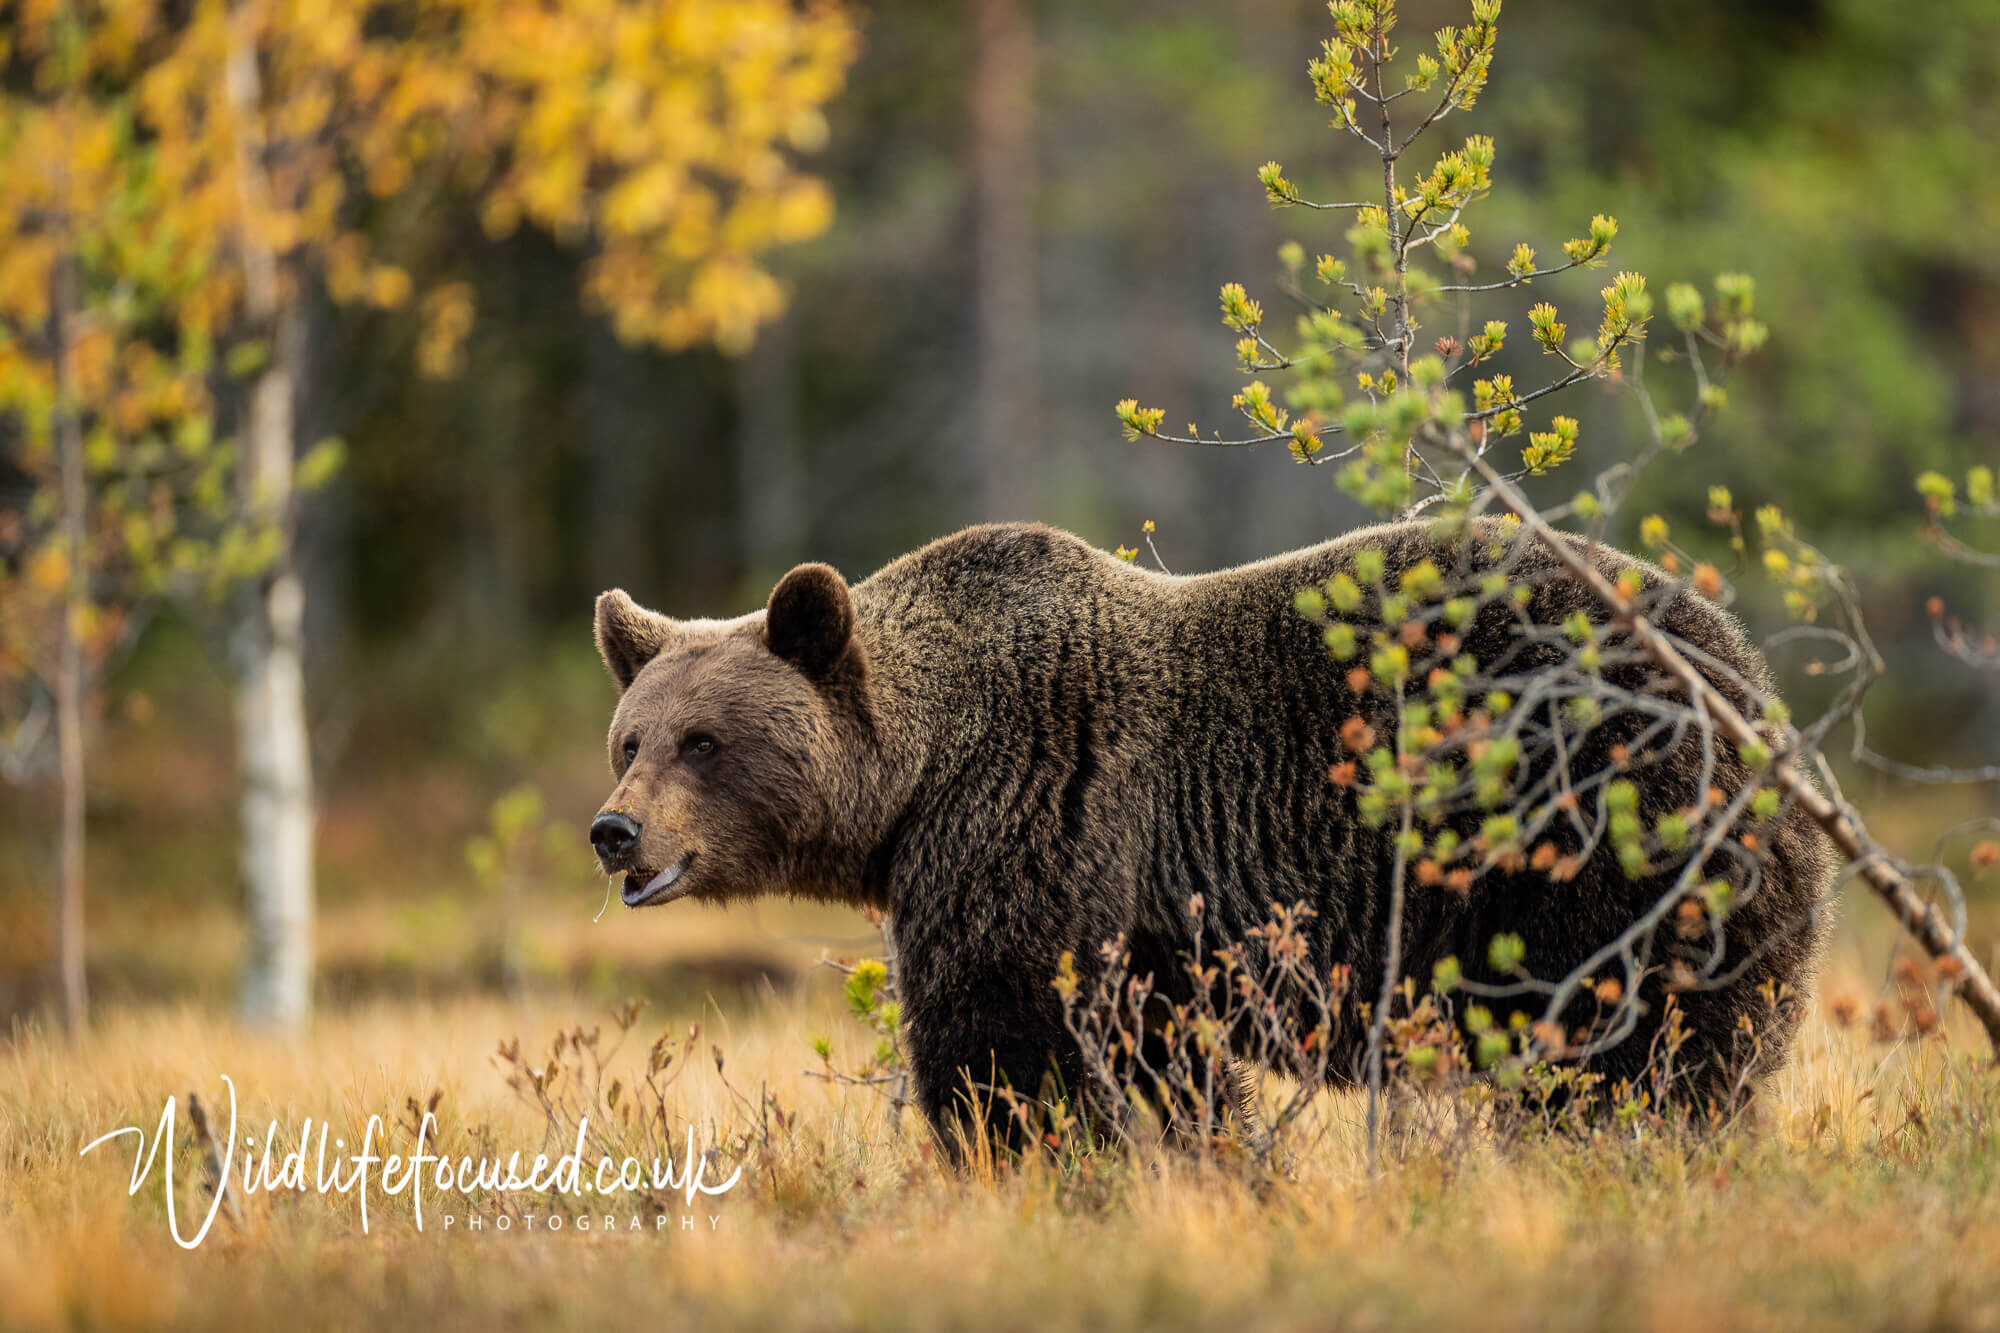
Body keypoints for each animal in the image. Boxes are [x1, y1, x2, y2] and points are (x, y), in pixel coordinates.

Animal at [588, 520, 1833, 1146]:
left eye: (703, 740)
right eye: (628, 738)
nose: (614, 832)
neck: (920, 772)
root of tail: (1757, 690)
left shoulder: (1037, 810)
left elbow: (1005, 1036)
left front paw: (1025, 1157)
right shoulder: (1137, 924)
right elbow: (1152, 1064)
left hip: (1597, 829)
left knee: (1622, 1042)